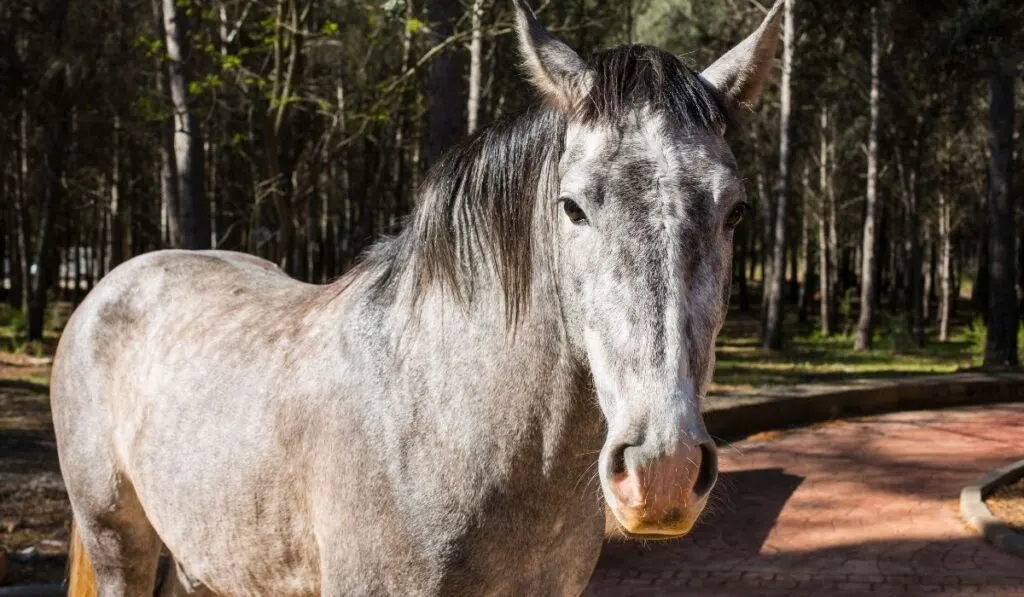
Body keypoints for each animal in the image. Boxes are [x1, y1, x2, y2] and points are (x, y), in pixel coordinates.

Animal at [52, 1, 782, 595]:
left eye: (736, 211)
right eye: (572, 206)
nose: (662, 471)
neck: (445, 417)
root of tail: (107, 290)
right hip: (117, 540)